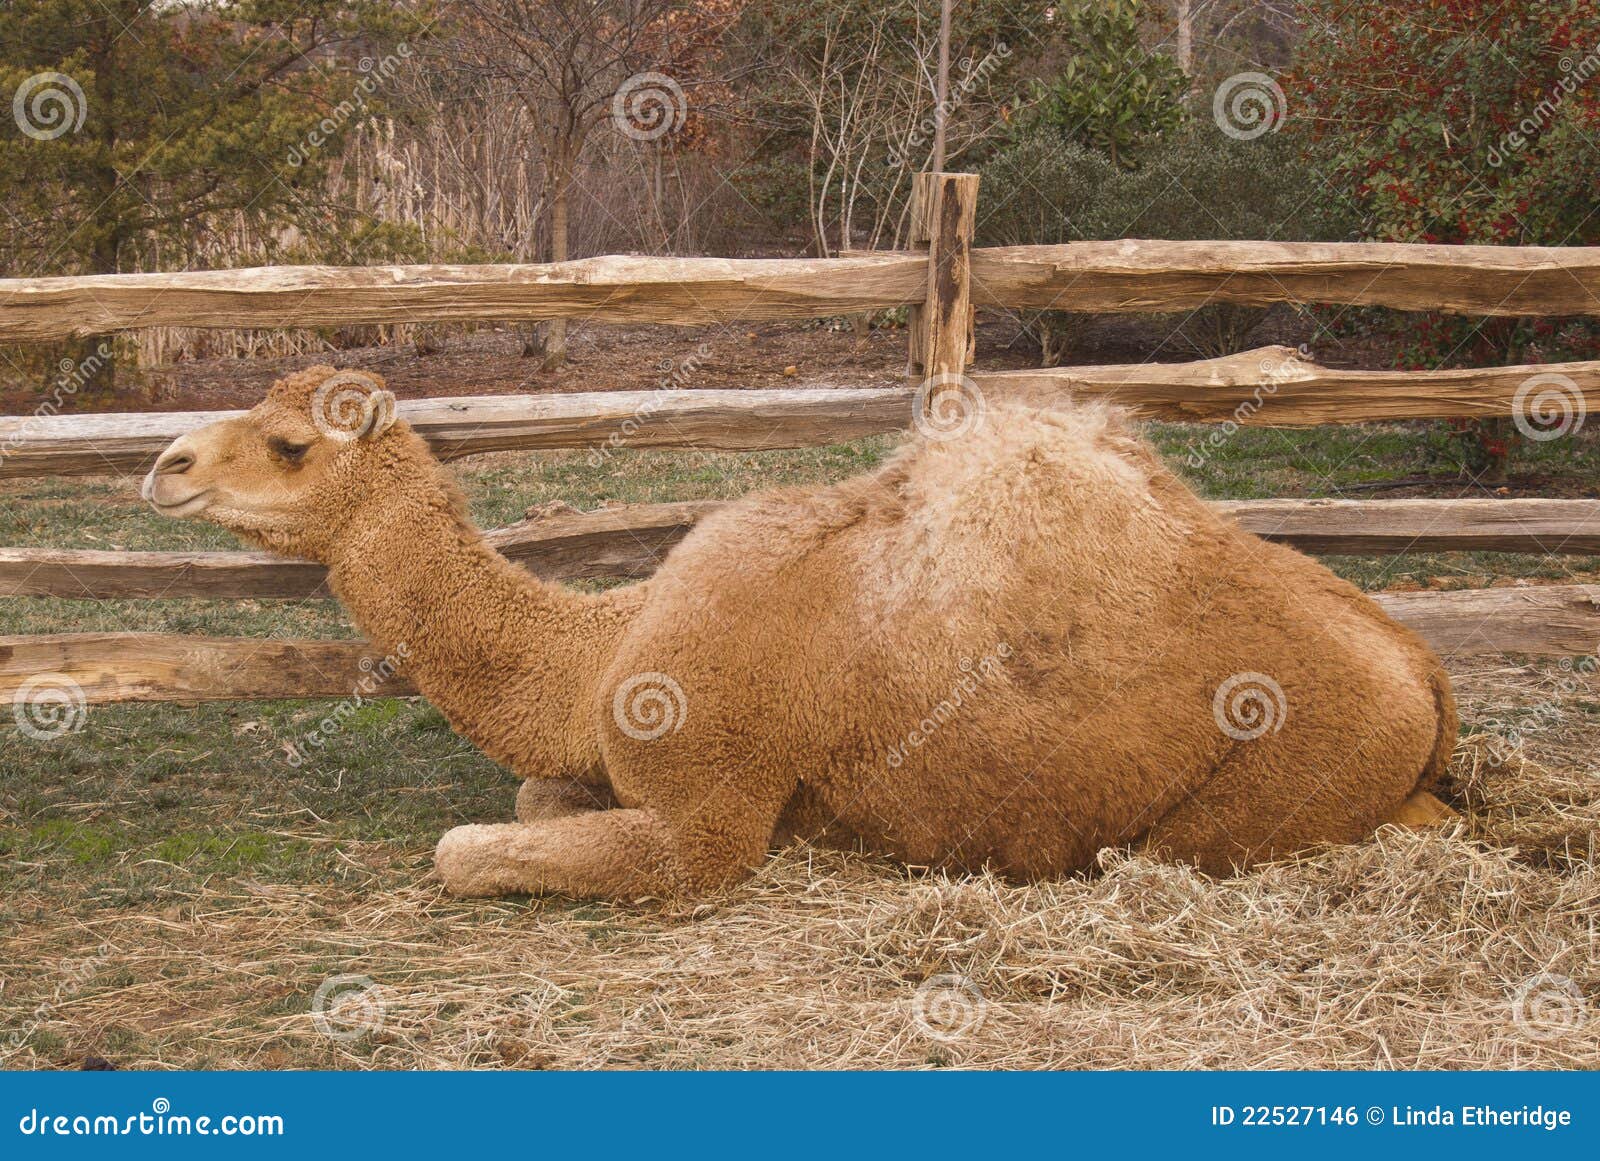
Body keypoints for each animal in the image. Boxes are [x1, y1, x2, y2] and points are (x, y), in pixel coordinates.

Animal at [142, 366, 1458, 901]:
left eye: (290, 445)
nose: (164, 466)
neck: (605, 649)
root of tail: (1422, 668)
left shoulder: (709, 813)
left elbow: (470, 848)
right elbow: (528, 800)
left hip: (1267, 785)